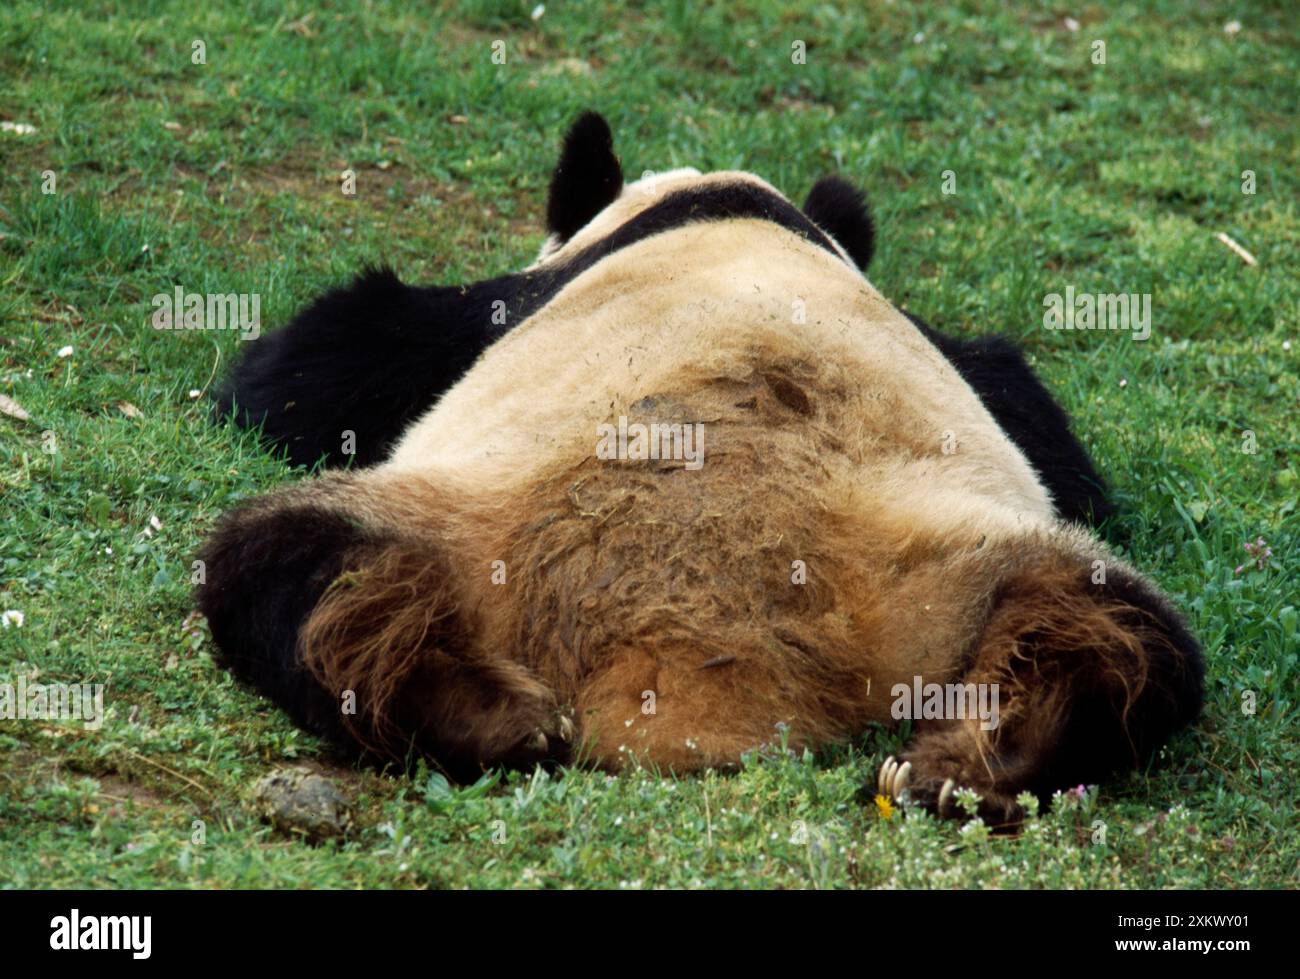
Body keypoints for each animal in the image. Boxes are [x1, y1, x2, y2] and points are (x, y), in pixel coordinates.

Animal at [198, 111, 1204, 823]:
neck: (725, 206)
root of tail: (693, 668)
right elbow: (1046, 429)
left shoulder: (495, 306)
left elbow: (316, 366)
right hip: (935, 560)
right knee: (1118, 626)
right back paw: (983, 755)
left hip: (481, 518)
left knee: (274, 564)